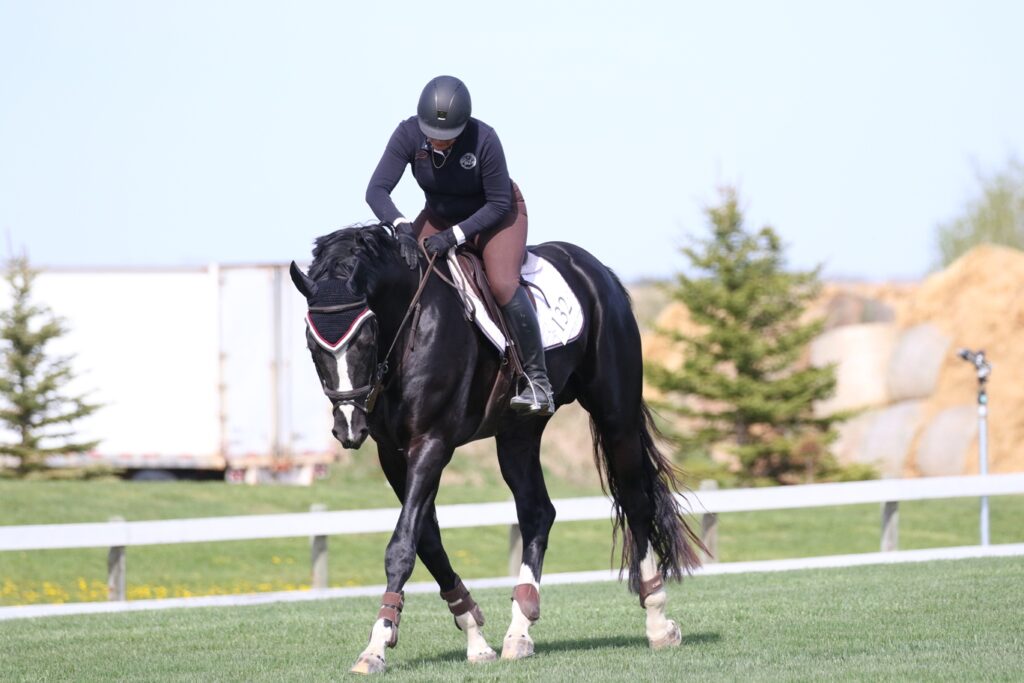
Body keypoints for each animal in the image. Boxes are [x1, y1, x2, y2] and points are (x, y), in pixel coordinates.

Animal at [289, 223, 703, 674]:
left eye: (365, 338)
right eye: (311, 345)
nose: (348, 427)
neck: (408, 326)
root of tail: (596, 270)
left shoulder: (431, 443)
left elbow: (402, 546)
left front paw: (376, 646)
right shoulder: (393, 456)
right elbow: (427, 540)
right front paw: (474, 636)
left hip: (615, 414)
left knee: (635, 502)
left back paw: (658, 621)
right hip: (518, 434)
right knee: (538, 512)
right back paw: (519, 630)